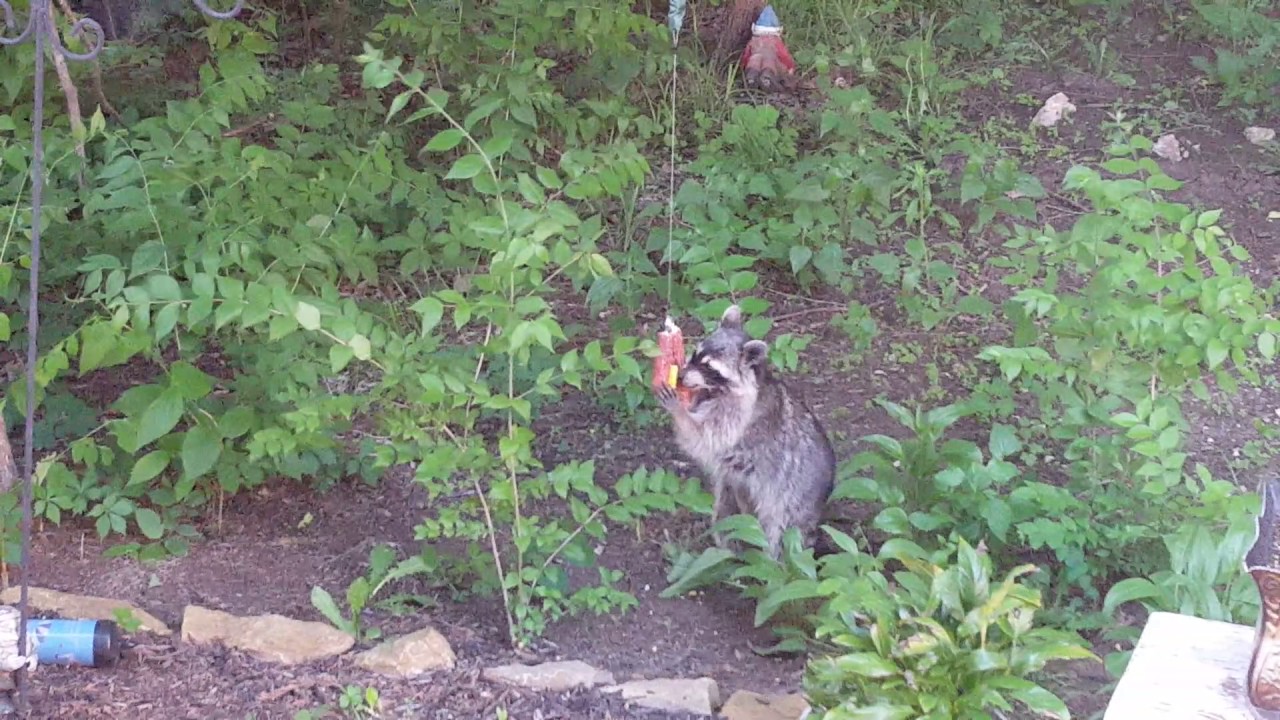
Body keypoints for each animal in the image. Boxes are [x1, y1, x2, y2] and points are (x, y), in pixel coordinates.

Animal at [653, 304, 836, 559]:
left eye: (709, 367)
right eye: (694, 355)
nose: (679, 377)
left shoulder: (743, 420)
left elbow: (706, 439)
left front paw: (679, 411)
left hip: (792, 504)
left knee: (779, 534)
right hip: (733, 492)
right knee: (725, 514)